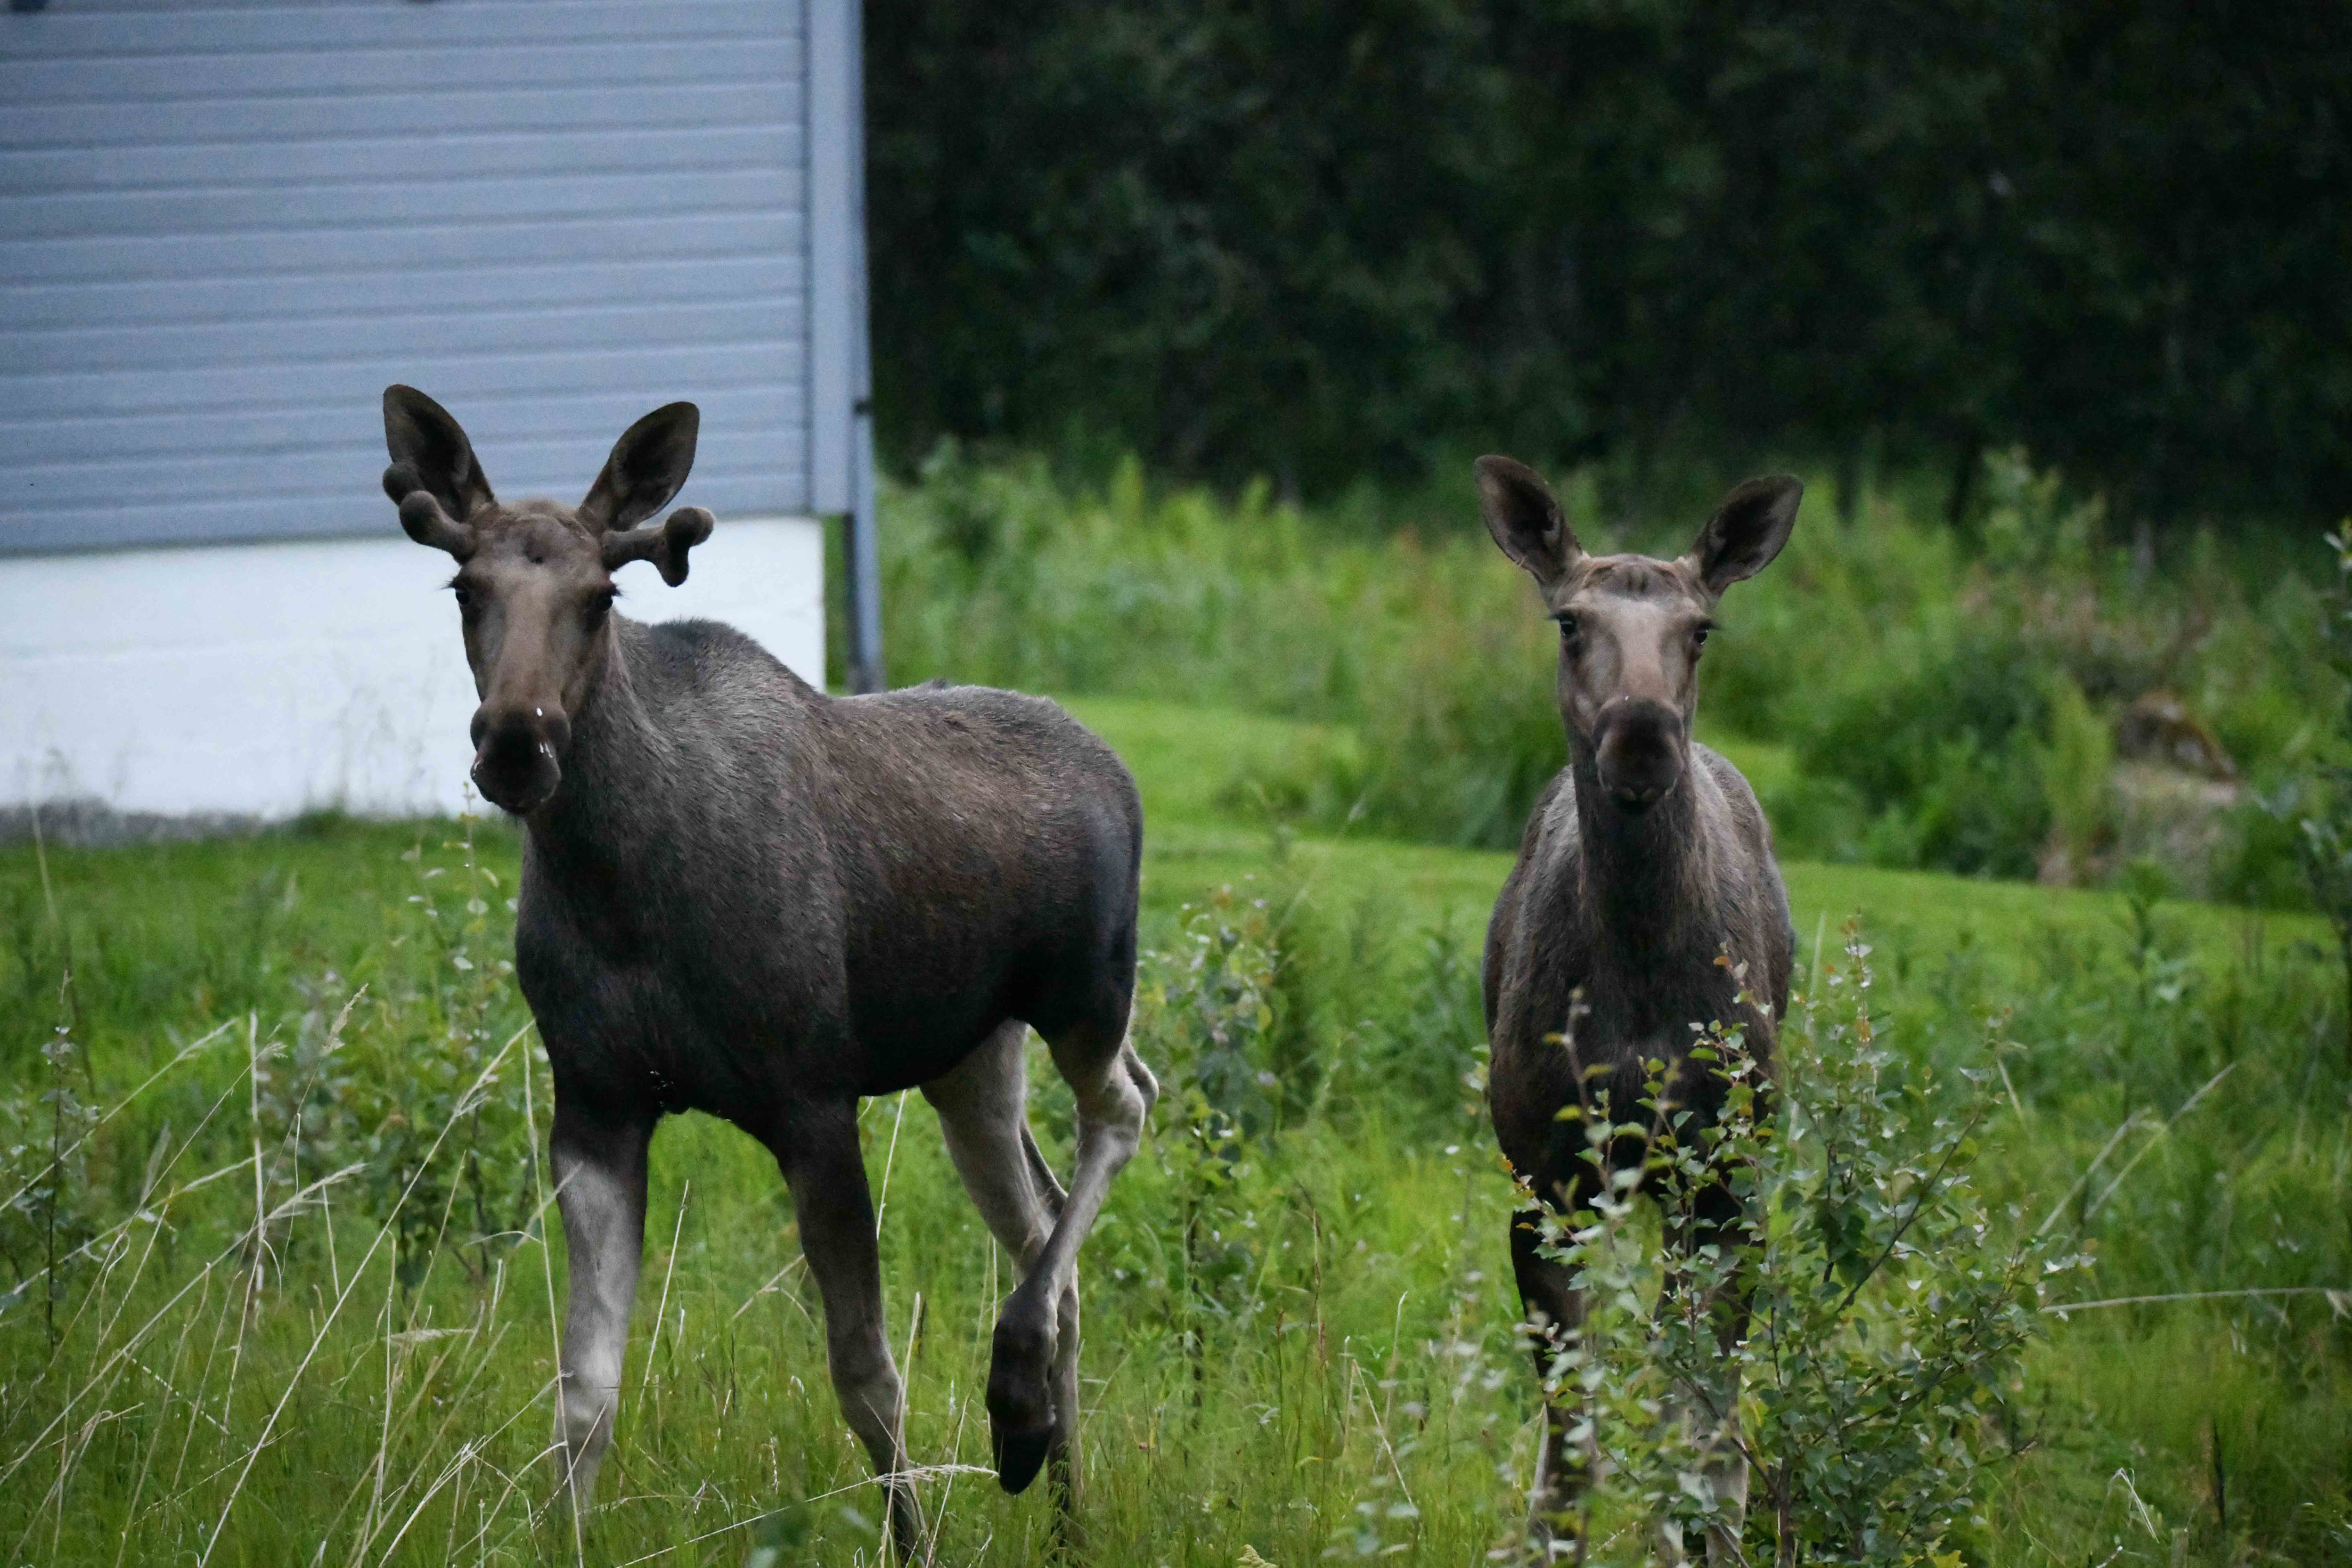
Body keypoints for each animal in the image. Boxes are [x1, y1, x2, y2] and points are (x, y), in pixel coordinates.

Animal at [379, 385, 1158, 1556]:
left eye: (602, 595)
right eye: (465, 587)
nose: (517, 742)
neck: (621, 889)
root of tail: (1120, 771)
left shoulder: (811, 1096)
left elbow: (867, 1375)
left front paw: (915, 1540)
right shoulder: (595, 1106)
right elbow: (584, 1388)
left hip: (1084, 999)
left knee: (1125, 1110)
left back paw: (1018, 1404)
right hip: (971, 1060)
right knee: (1040, 1225)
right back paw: (1063, 1504)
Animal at [1474, 457, 1802, 1564]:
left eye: (1700, 629)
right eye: (1570, 621)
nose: (1642, 740)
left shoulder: (1725, 1184)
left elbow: (1689, 1421)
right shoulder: (1545, 1181)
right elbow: (1571, 1449)